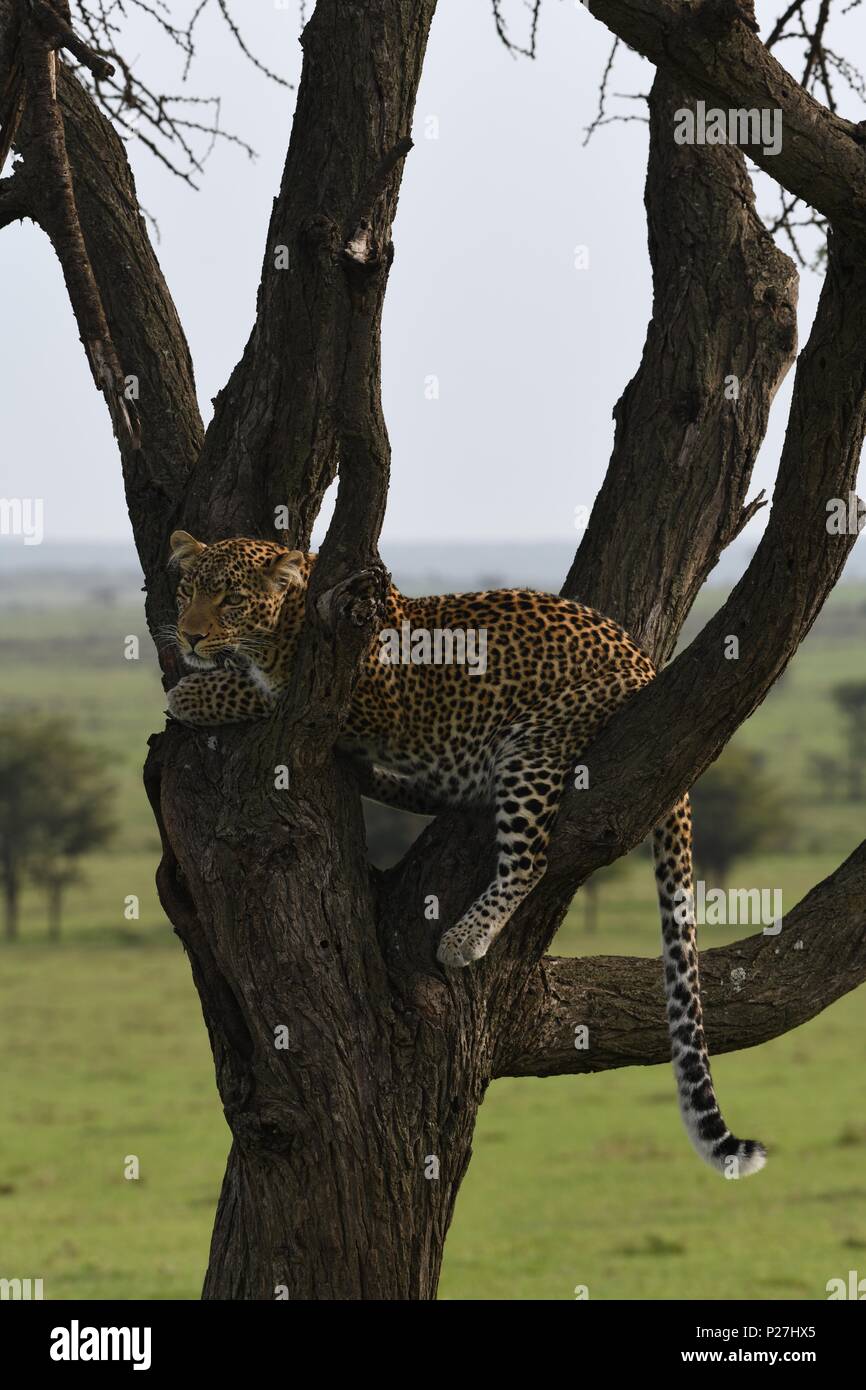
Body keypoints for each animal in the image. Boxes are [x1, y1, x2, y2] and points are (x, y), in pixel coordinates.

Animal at [164, 530, 766, 1178]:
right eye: (188, 590)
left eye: (230, 600)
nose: (189, 636)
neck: (295, 621)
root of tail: (643, 659)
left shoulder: (357, 700)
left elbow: (264, 691)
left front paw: (194, 692)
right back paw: (371, 776)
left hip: (532, 745)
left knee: (530, 858)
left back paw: (465, 937)